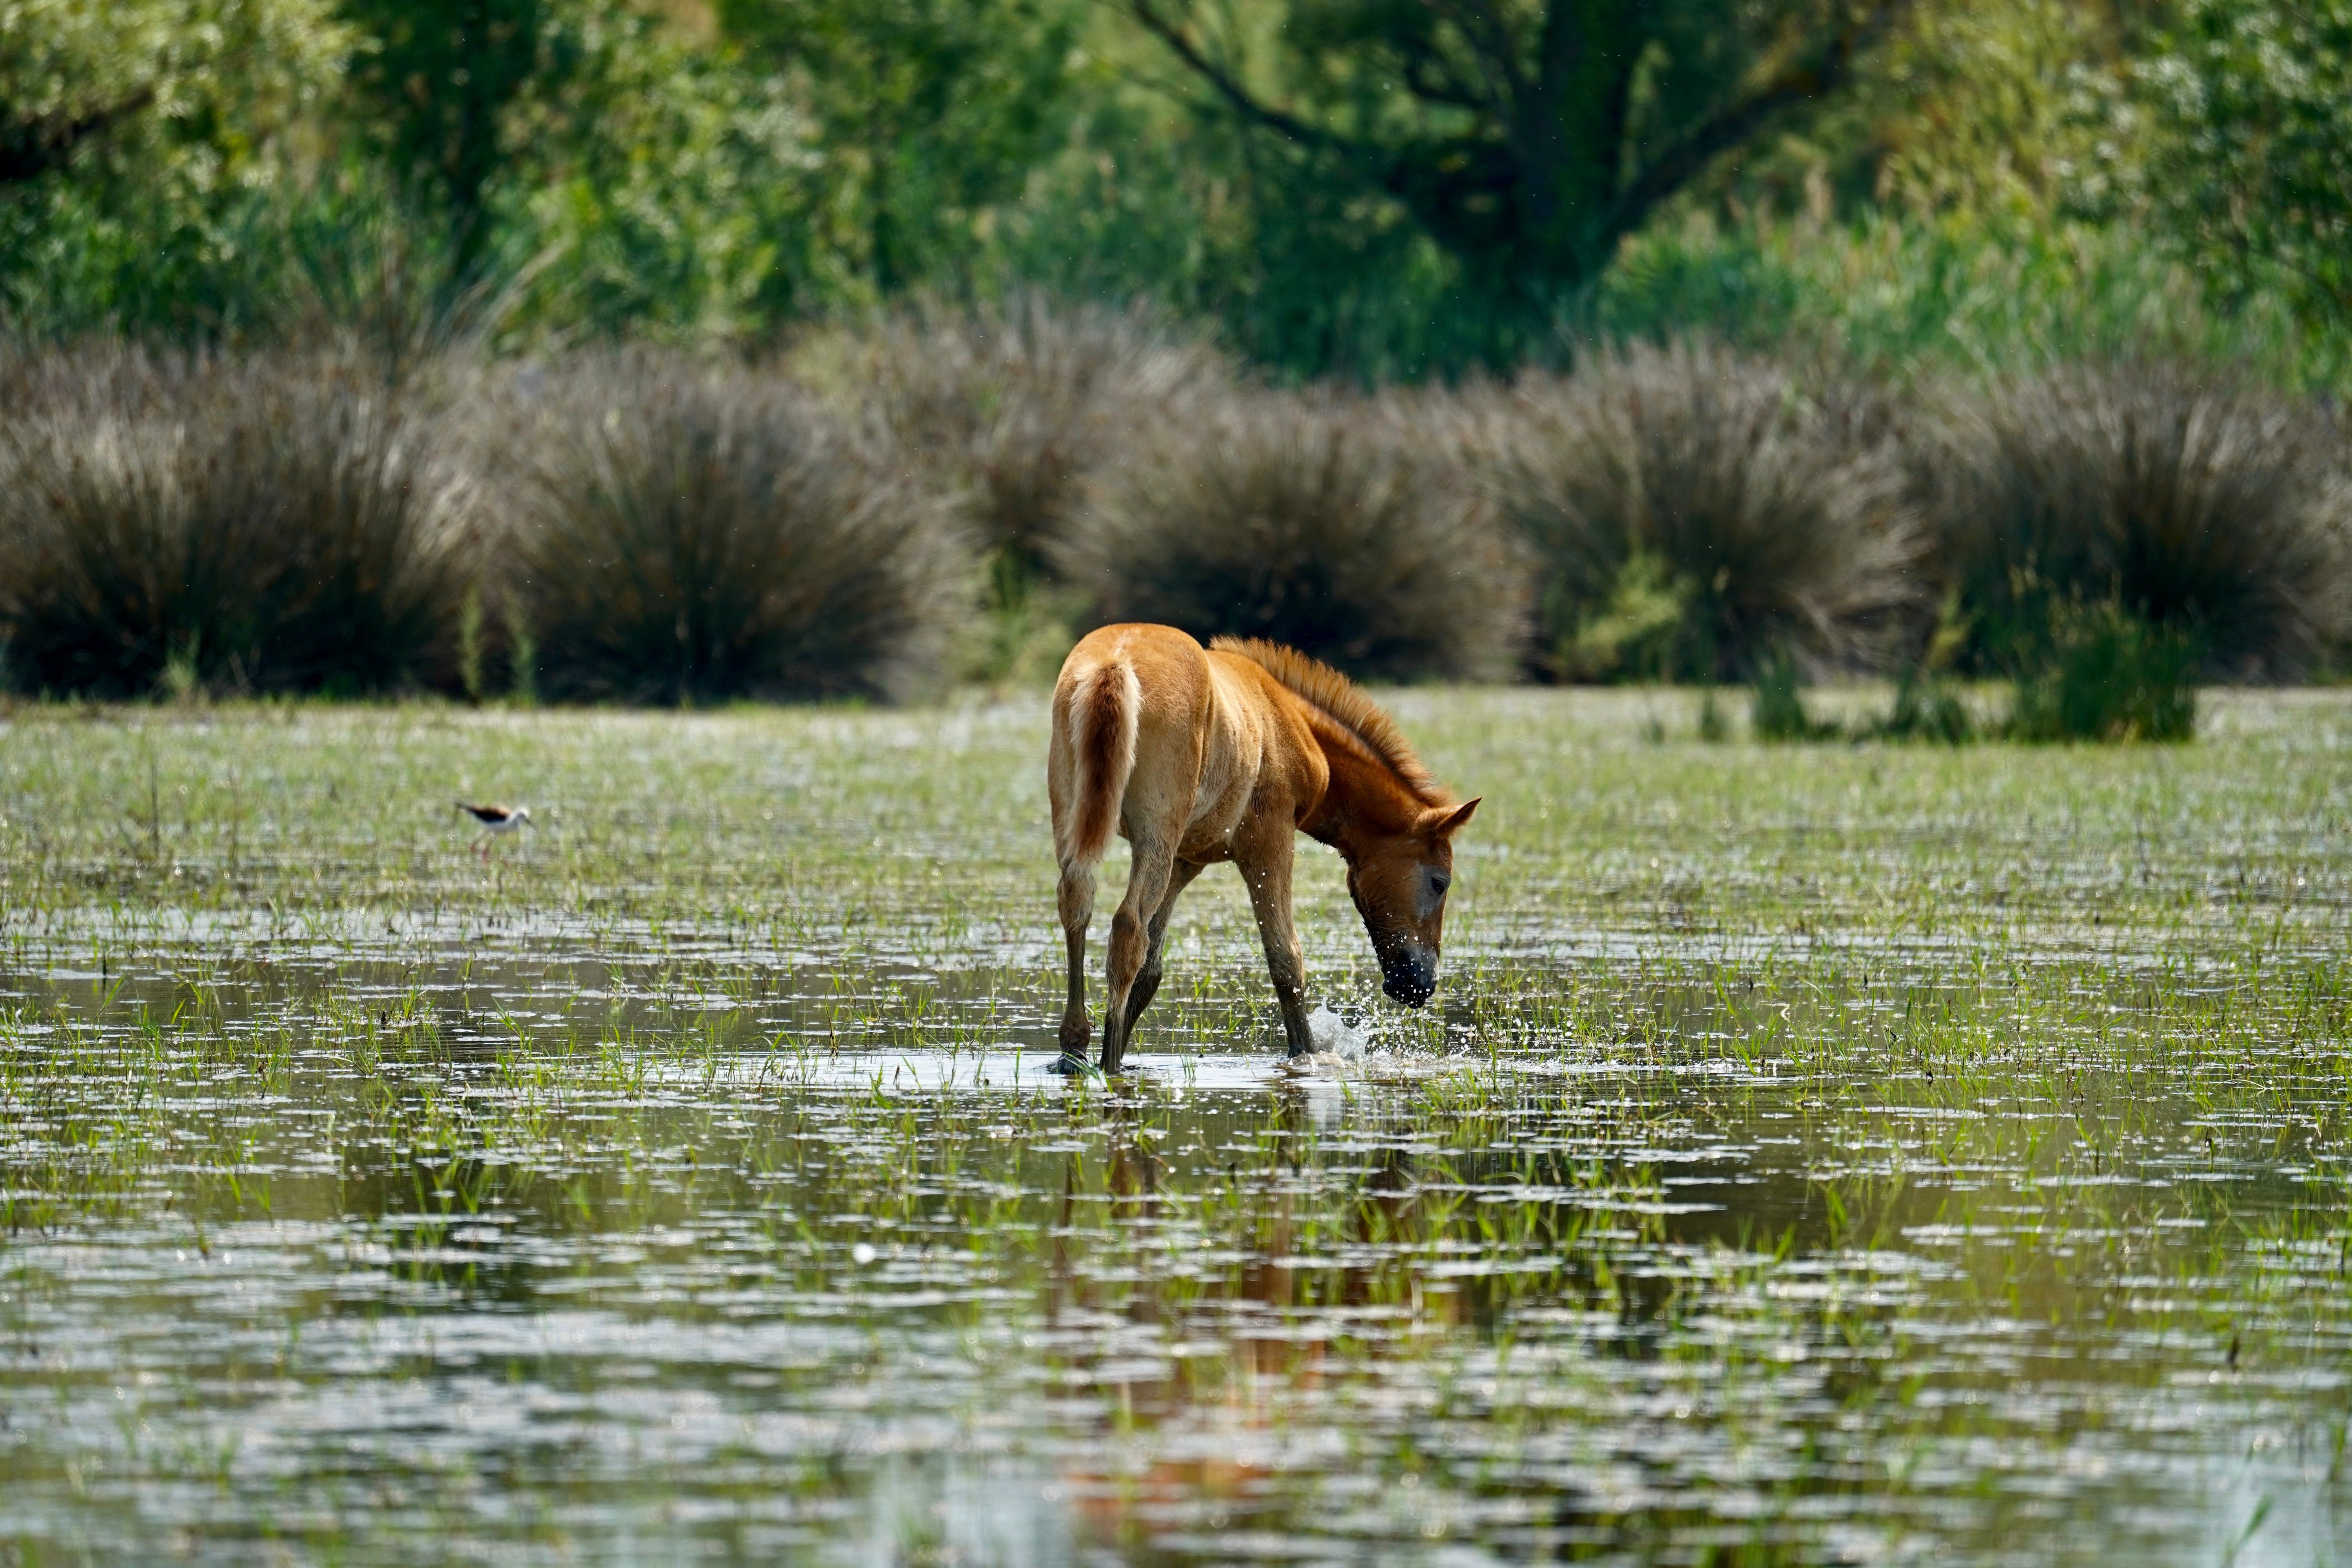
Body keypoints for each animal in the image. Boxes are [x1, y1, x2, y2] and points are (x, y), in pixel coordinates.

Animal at [1046, 624, 1479, 1074]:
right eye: (1440, 882)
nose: (1422, 984)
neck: (1290, 719)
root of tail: (1115, 663)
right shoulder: (1270, 840)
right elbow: (1286, 958)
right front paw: (1309, 1053)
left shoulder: (1186, 859)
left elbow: (1152, 970)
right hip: (1156, 835)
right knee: (1127, 929)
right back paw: (1109, 1062)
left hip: (1078, 821)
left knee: (1078, 904)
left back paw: (1075, 1048)